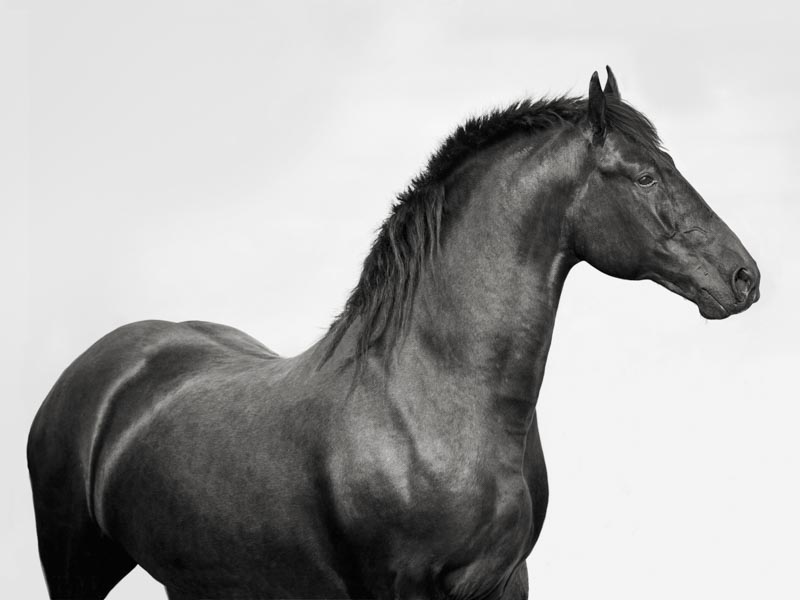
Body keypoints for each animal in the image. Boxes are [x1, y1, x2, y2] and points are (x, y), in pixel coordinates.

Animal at [28, 67, 760, 599]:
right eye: (645, 175)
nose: (744, 277)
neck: (431, 401)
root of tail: (97, 366)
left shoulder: (508, 582)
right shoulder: (396, 586)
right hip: (75, 569)